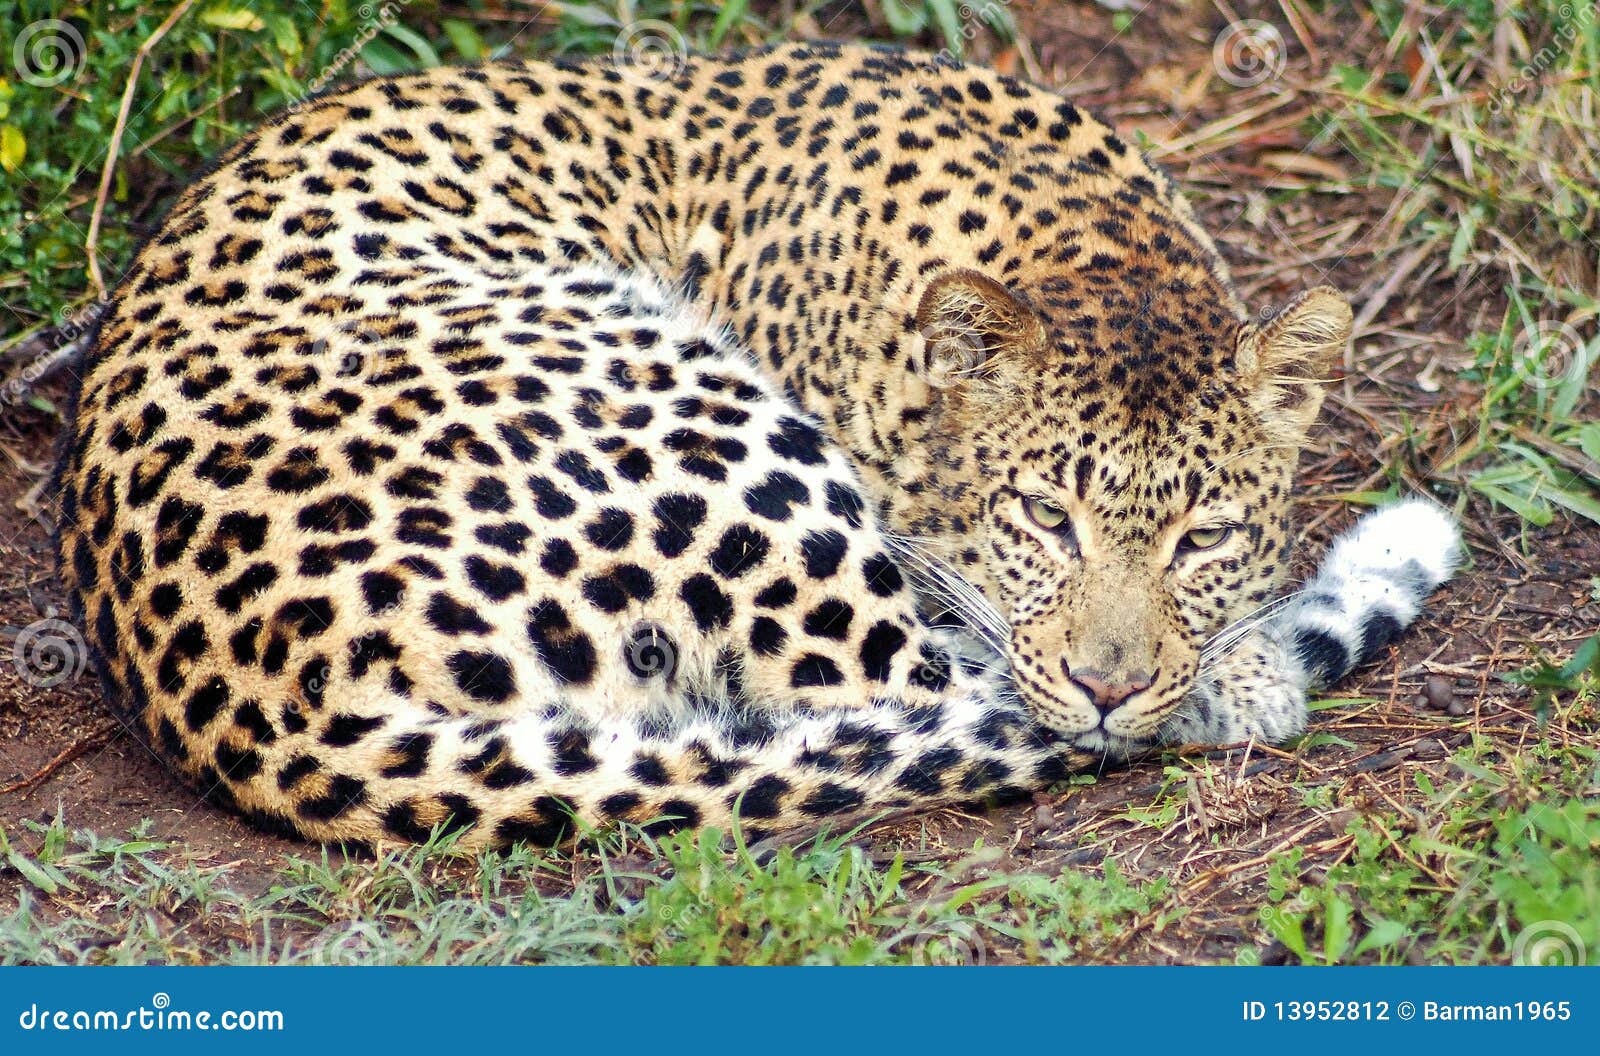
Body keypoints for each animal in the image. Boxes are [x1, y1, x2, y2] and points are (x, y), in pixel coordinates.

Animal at [52, 42, 1460, 850]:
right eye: (1043, 519)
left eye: (1200, 537)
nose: (1110, 680)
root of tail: (270, 709)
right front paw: (1233, 670)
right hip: (713, 446)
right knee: (931, 690)